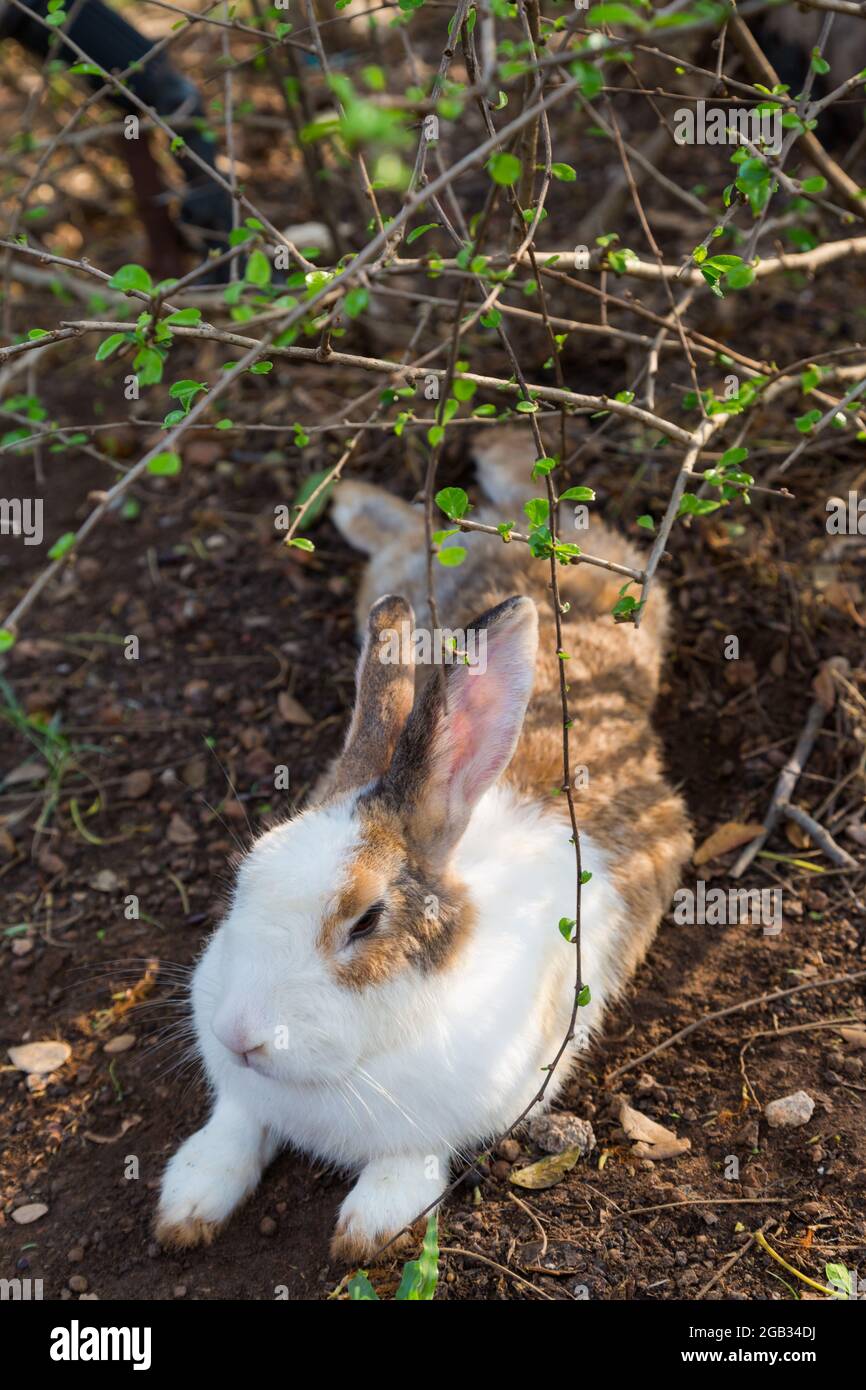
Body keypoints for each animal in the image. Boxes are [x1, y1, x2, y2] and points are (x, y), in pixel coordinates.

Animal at [155, 426, 692, 1264]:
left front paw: (367, 1229)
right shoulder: (242, 1097)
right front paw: (188, 1202)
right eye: (244, 880)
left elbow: (407, 1163)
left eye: (367, 920)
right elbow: (235, 1126)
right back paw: (367, 506)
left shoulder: (459, 1114)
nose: (241, 1037)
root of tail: (530, 529)